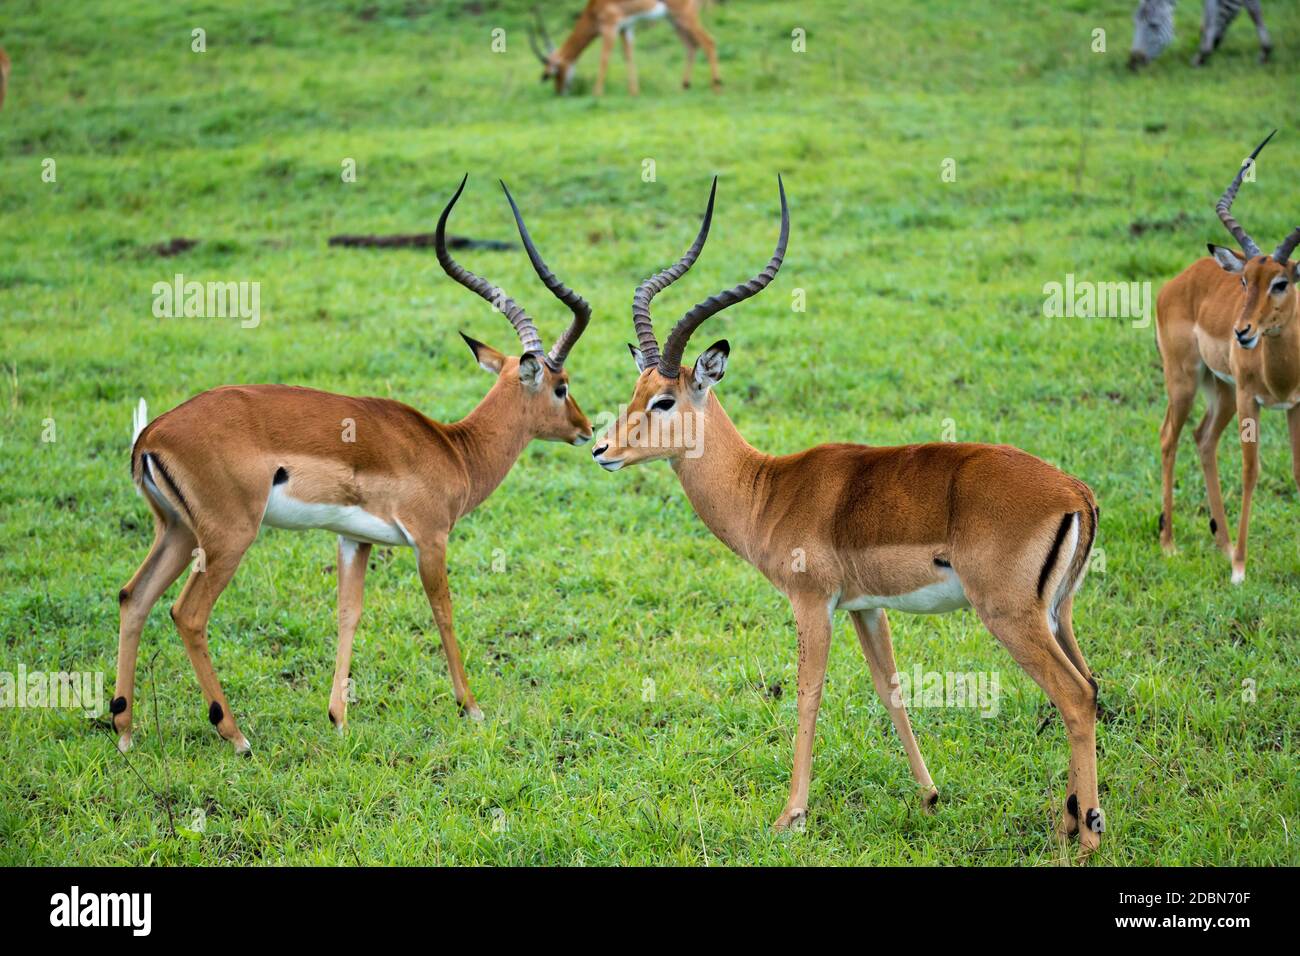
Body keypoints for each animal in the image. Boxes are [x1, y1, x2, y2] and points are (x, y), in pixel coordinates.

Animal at [112, 177, 595, 754]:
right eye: (561, 385)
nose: (587, 429)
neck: (453, 448)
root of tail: (152, 434)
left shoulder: (353, 539)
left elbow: (348, 613)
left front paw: (338, 717)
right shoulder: (431, 539)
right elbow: (444, 611)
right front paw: (471, 707)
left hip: (178, 530)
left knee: (133, 597)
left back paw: (124, 732)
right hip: (228, 536)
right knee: (187, 613)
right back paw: (236, 734)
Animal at [528, 1, 720, 97]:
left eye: (553, 73)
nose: (559, 92)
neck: (593, 9)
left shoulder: (610, 26)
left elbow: (604, 58)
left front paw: (597, 93)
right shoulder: (626, 28)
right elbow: (629, 56)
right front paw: (634, 92)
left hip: (683, 14)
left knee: (709, 41)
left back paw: (716, 86)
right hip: (674, 19)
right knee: (691, 45)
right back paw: (683, 88)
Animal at [593, 178, 1105, 858]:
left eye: (665, 399)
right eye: (636, 390)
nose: (602, 448)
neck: (769, 488)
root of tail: (1075, 492)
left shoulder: (813, 602)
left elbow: (808, 694)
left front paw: (790, 817)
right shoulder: (866, 607)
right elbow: (891, 688)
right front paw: (929, 796)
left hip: (1010, 616)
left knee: (1073, 697)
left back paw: (1085, 840)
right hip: (1057, 614)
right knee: (1092, 687)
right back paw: (1074, 819)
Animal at [1156, 131, 1300, 583]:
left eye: (1281, 282)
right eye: (1244, 280)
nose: (1242, 332)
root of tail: (1180, 278)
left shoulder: (1296, 406)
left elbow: (1297, 470)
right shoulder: (1250, 398)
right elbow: (1251, 471)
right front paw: (1240, 568)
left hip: (1220, 390)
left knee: (1204, 439)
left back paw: (1220, 543)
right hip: (1185, 382)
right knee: (1169, 437)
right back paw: (1170, 544)